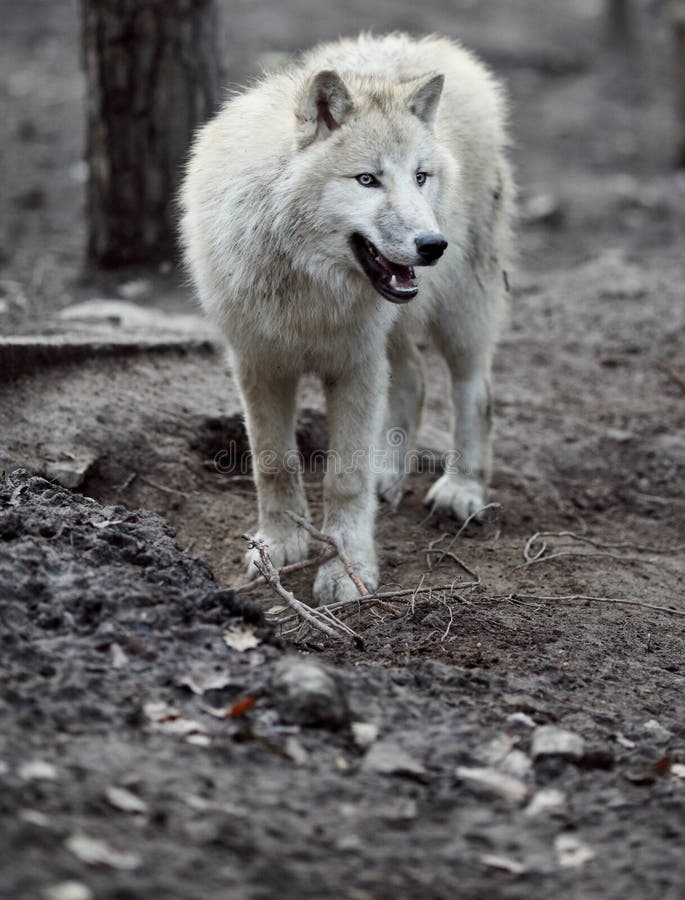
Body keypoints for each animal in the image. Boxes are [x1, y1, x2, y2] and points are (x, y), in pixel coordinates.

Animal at [180, 32, 513, 604]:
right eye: (367, 179)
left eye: (419, 177)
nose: (433, 245)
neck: (308, 283)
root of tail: (438, 50)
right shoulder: (259, 362)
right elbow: (273, 462)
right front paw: (280, 544)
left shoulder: (356, 365)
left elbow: (344, 479)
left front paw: (347, 568)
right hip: (394, 330)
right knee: (414, 379)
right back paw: (389, 477)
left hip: (460, 313)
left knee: (475, 391)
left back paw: (461, 489)